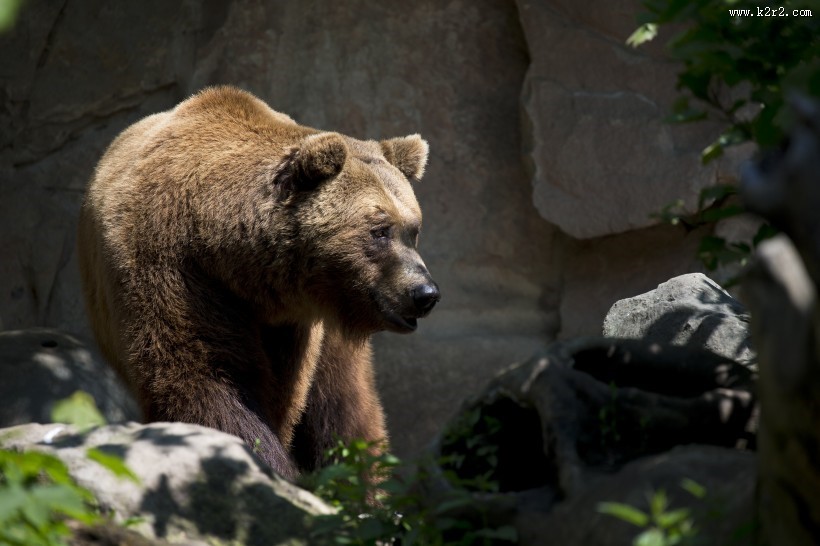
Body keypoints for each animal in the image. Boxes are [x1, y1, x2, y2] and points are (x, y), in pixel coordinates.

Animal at [77, 86, 440, 480]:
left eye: (413, 230)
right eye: (379, 230)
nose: (424, 294)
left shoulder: (295, 326)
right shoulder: (175, 270)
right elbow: (208, 379)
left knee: (344, 406)